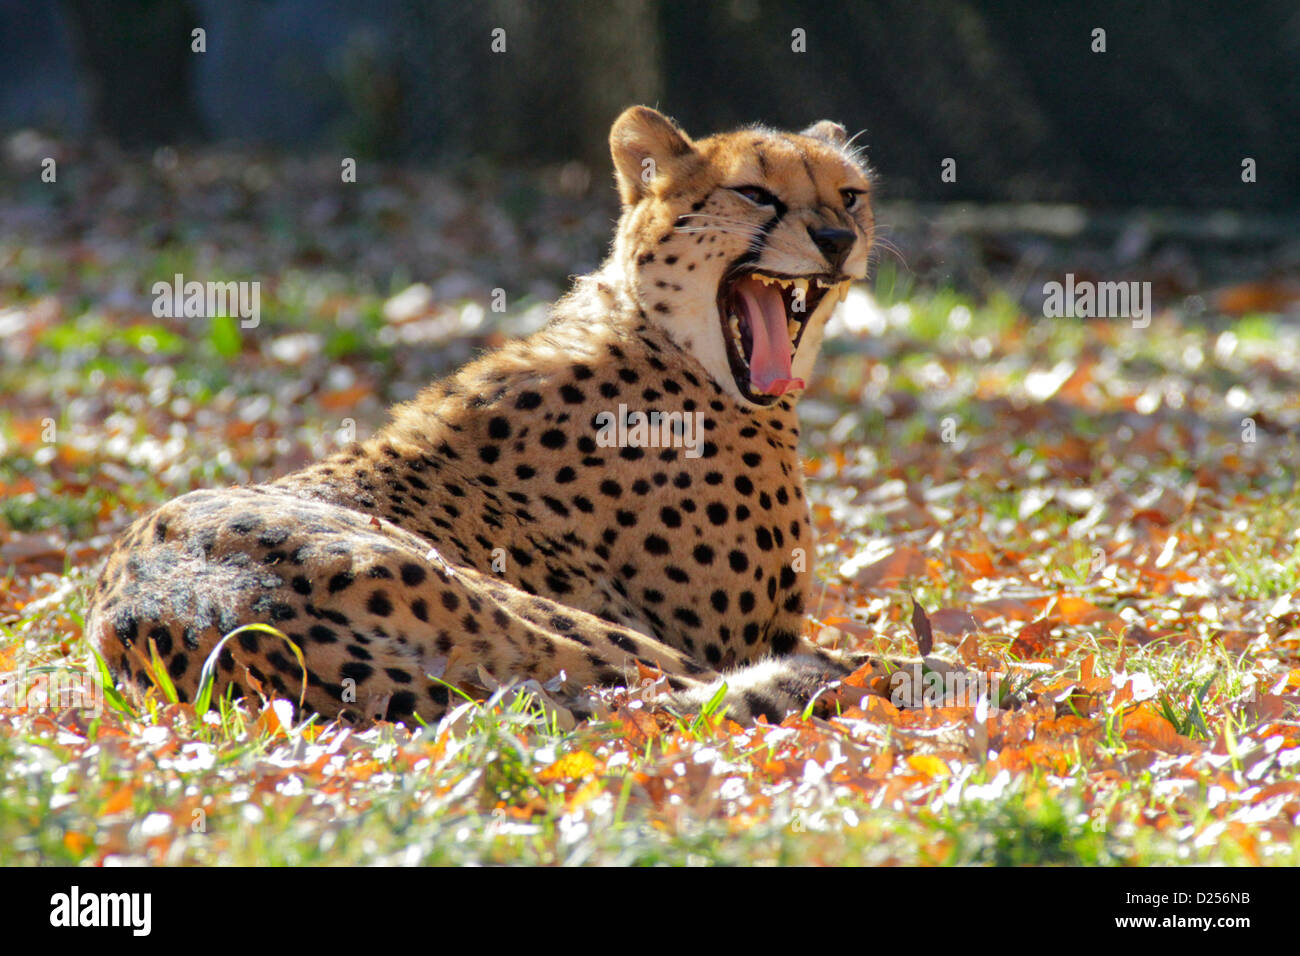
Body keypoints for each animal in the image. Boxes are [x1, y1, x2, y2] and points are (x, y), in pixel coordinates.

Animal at [85, 106, 893, 726]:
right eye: (755, 193)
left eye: (850, 195)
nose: (837, 240)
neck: (664, 337)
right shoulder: (741, 641)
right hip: (536, 614)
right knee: (685, 691)